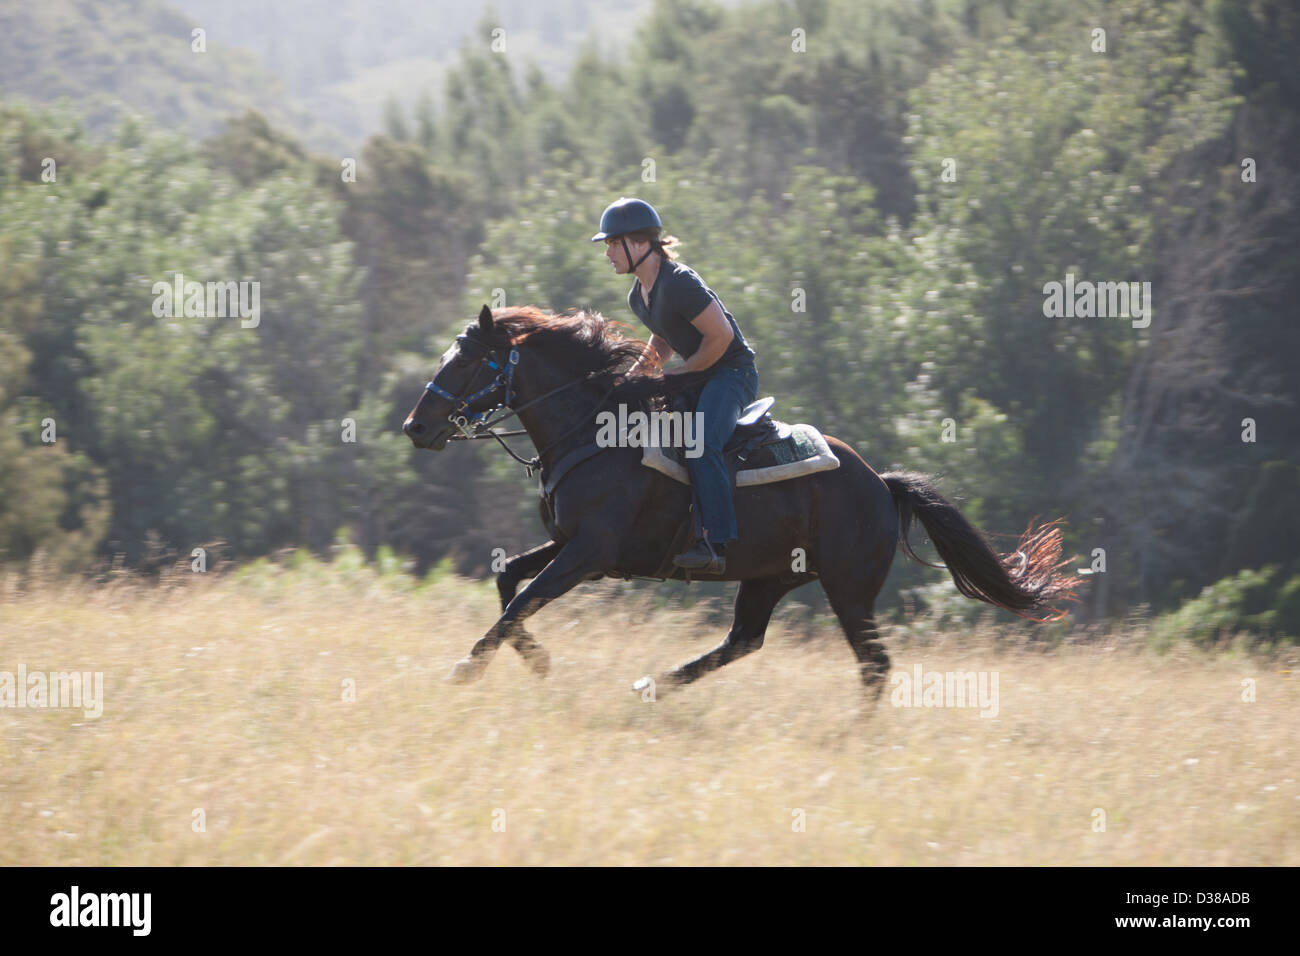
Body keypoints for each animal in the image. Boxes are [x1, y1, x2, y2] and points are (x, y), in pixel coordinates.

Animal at [403, 305, 1078, 697]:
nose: (416, 426)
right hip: (771, 576)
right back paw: (652, 686)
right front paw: (537, 663)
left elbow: (522, 601)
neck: (593, 430)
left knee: (874, 666)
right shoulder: (568, 544)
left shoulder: (589, 554)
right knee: (745, 640)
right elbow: (508, 585)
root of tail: (881, 485)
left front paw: (467, 669)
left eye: (470, 361)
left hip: (849, 588)